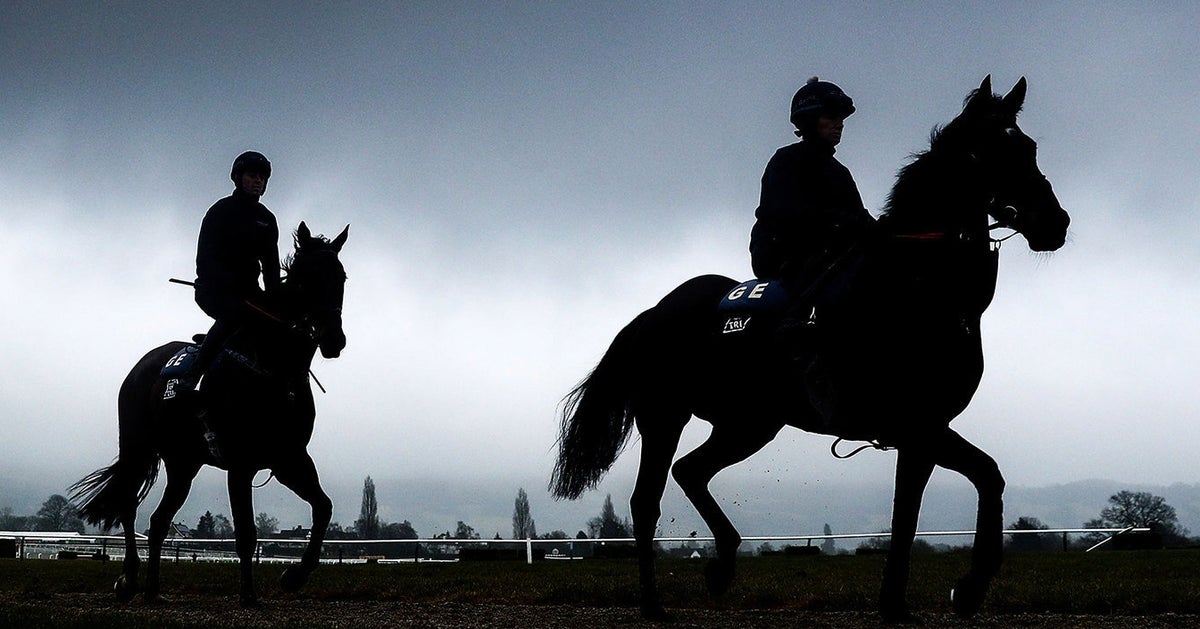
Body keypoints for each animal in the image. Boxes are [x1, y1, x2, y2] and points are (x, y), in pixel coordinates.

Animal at [70, 221, 349, 606]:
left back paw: (153, 589)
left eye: (342, 277)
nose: (334, 339)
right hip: (137, 447)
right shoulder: (241, 464)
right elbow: (246, 532)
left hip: (183, 463)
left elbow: (323, 507)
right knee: (128, 504)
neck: (274, 368)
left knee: (158, 521)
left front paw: (294, 576)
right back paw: (128, 579)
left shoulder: (288, 458)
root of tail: (141, 366)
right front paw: (248, 593)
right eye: (307, 278)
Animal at [550, 76, 1070, 622]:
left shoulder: (926, 427)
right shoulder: (916, 424)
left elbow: (941, 499)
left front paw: (927, 596)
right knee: (646, 501)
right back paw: (653, 603)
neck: (918, 289)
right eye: (986, 151)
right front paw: (948, 592)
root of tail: (653, 314)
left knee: (690, 470)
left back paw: (722, 566)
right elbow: (955, 490)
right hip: (665, 417)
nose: (1055, 222)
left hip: (748, 423)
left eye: (1029, 147)